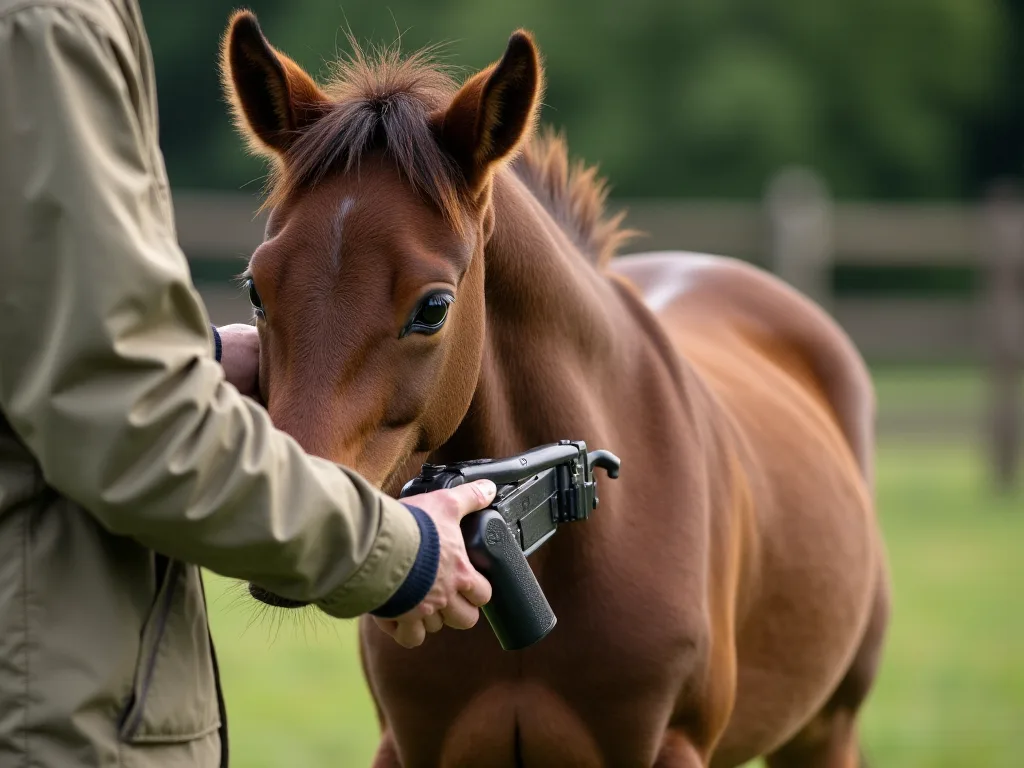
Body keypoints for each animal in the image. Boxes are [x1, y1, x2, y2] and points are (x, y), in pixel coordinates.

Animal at [218, 10, 890, 767]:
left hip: (827, 728)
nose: (286, 538)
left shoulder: (675, 745)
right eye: (256, 287)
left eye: (433, 308)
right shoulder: (409, 747)